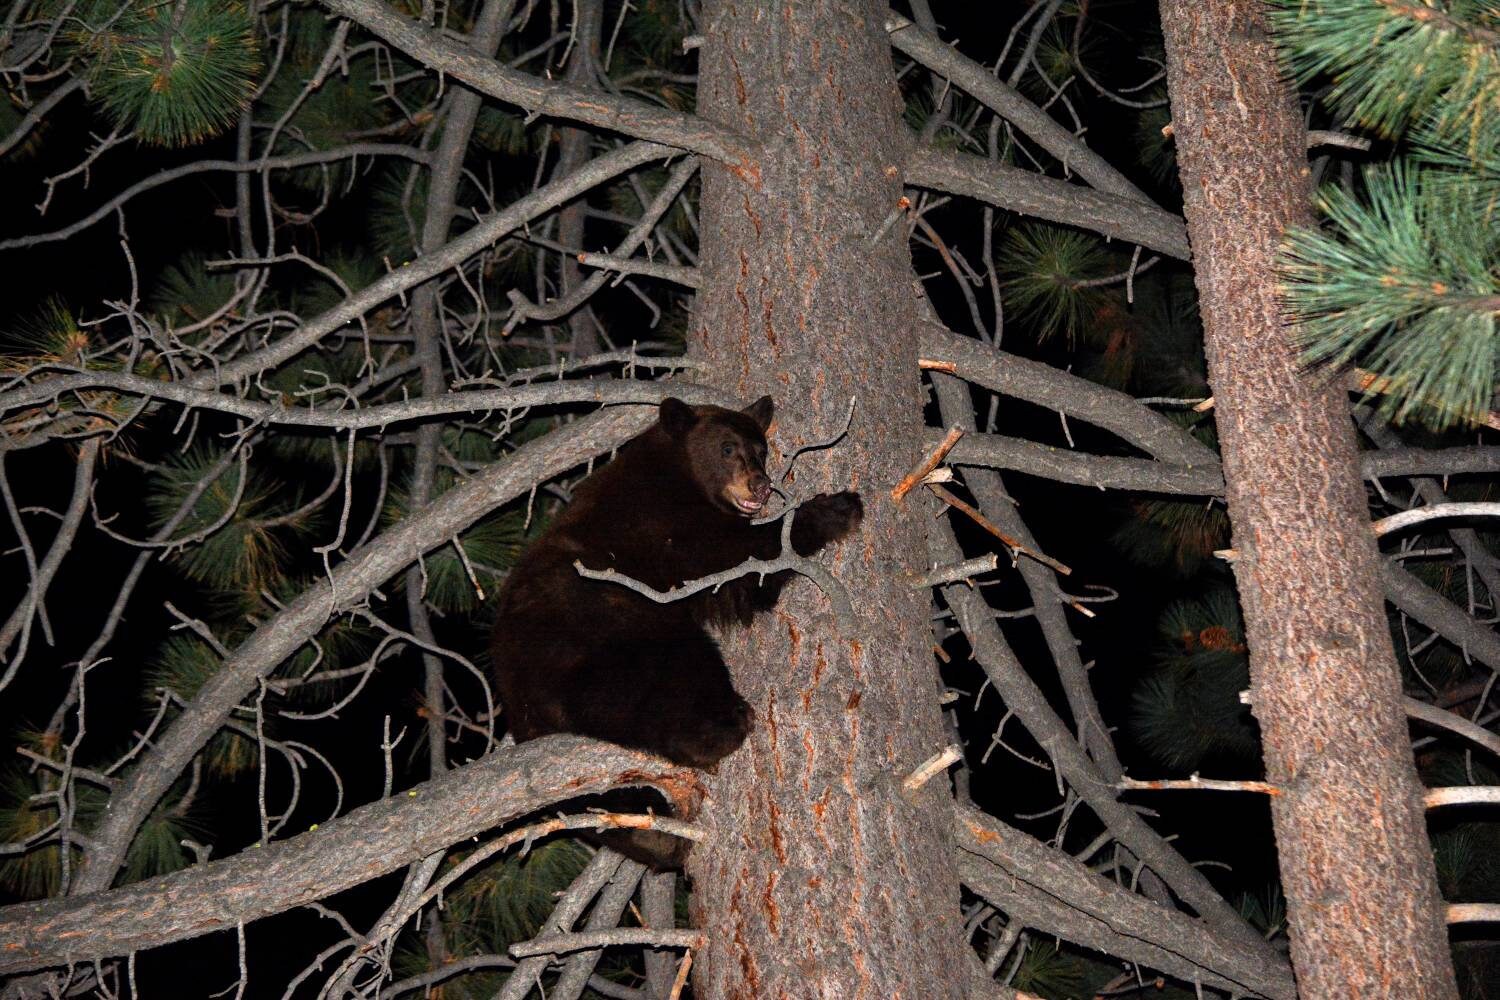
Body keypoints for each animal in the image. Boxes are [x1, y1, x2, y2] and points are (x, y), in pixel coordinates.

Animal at [489, 395, 862, 867]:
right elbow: (736, 556)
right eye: (727, 448)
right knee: (675, 674)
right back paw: (723, 724)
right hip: (611, 630)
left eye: (761, 450)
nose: (760, 486)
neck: (675, 473)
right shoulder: (661, 525)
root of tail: (520, 705)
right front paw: (837, 508)